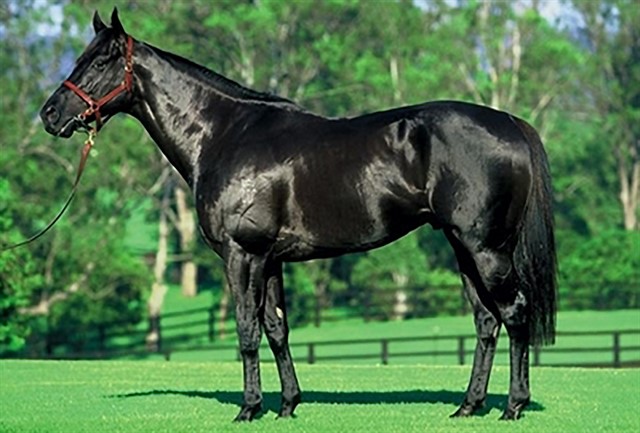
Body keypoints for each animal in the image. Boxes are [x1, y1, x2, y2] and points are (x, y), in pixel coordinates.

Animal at [40, 9, 556, 422]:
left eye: (100, 61)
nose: (50, 115)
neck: (224, 135)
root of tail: (510, 123)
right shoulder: (270, 260)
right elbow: (277, 328)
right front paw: (288, 404)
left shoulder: (242, 255)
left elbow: (247, 329)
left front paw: (248, 409)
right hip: (463, 249)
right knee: (486, 321)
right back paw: (469, 406)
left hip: (486, 250)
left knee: (514, 312)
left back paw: (513, 406)